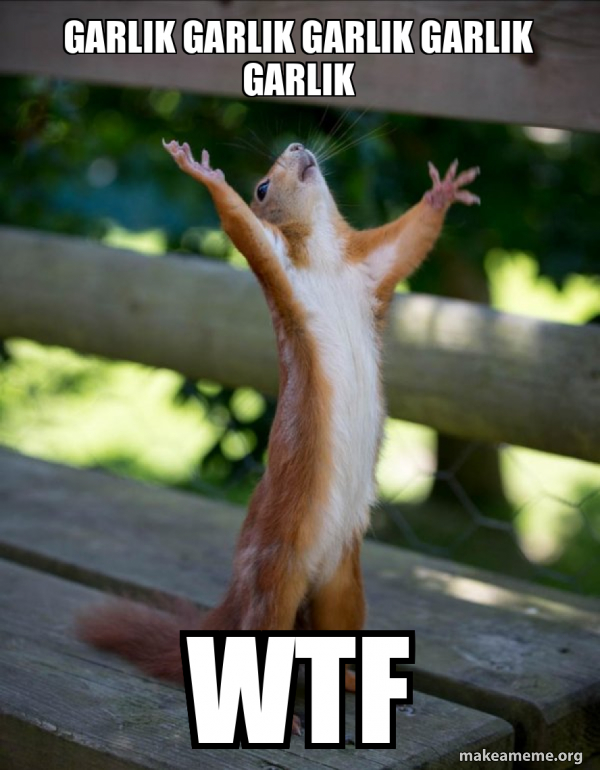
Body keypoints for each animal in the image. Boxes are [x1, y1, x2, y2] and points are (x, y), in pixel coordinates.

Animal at [78, 138, 479, 734]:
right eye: (262, 186)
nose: (296, 146)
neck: (328, 260)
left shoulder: (372, 267)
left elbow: (409, 240)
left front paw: (443, 191)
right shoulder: (278, 267)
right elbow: (241, 226)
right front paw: (204, 173)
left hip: (344, 591)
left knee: (335, 638)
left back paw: (354, 681)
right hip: (274, 580)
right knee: (264, 643)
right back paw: (284, 716)